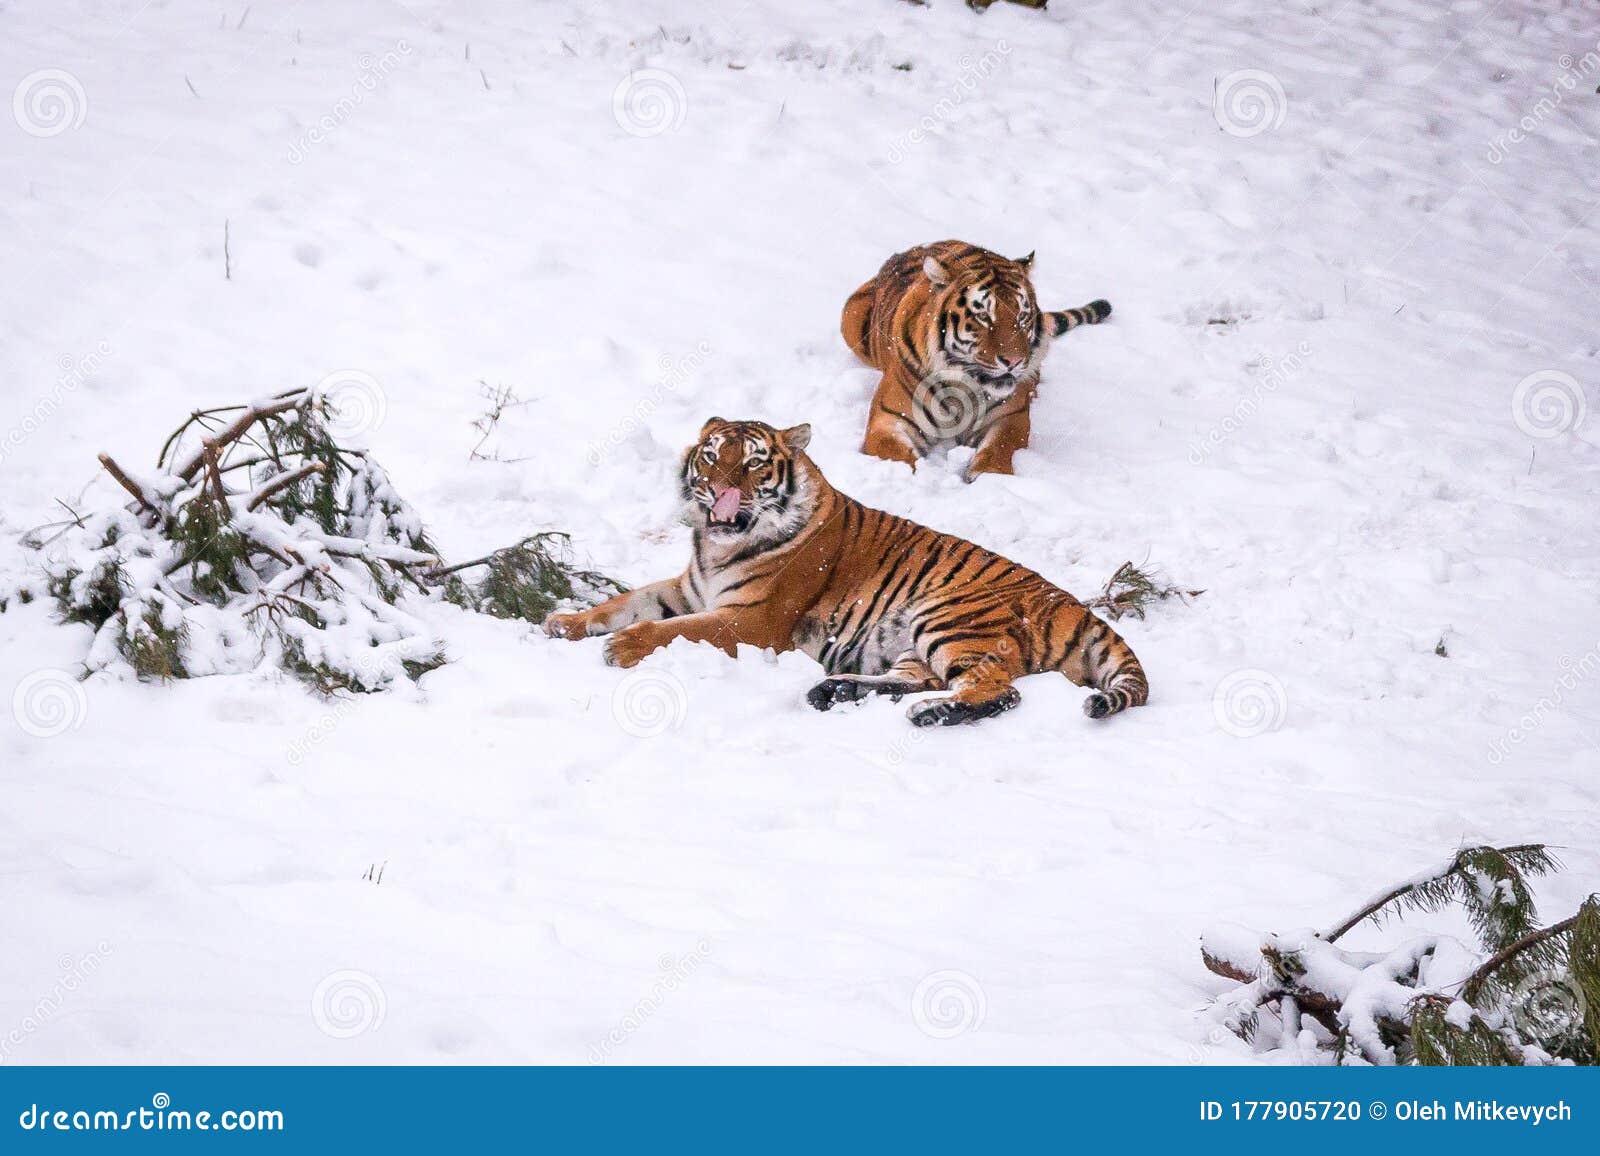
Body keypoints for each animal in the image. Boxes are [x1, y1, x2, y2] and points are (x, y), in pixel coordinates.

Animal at [543, 418, 1148, 727]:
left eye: (753, 462)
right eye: (712, 456)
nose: (718, 489)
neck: (717, 544)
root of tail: (1070, 603)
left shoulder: (753, 620)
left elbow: (672, 631)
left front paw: (622, 648)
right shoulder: (688, 589)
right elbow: (627, 602)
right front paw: (565, 624)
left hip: (948, 614)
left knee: (997, 689)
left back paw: (931, 715)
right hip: (914, 638)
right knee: (920, 678)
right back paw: (833, 691)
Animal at [841, 240, 1111, 480]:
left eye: (1022, 316)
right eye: (983, 316)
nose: (1014, 361)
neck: (964, 384)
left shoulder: (1010, 417)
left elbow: (1000, 449)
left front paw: (989, 477)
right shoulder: (889, 417)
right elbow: (896, 454)